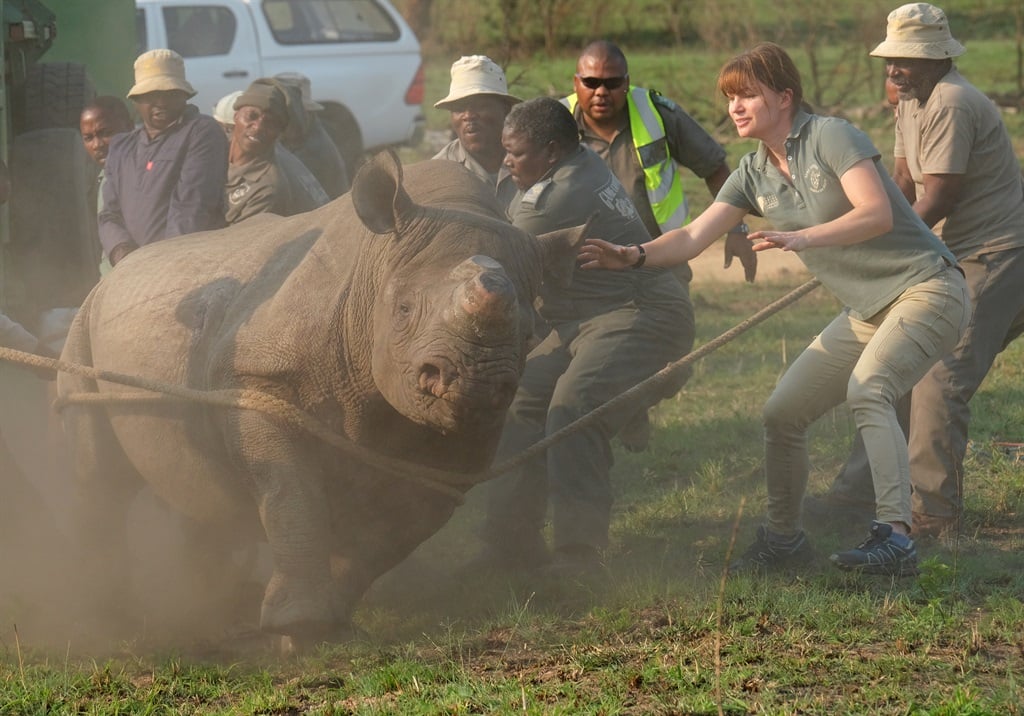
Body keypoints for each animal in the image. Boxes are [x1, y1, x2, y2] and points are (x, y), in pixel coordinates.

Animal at [57, 151, 586, 646]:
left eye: (530, 332)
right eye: (404, 310)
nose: (473, 383)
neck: (376, 265)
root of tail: (114, 270)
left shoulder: (453, 451)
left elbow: (393, 529)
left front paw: (322, 627)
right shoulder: (254, 384)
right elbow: (291, 491)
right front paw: (301, 625)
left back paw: (213, 606)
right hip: (84, 327)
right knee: (98, 475)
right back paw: (106, 620)